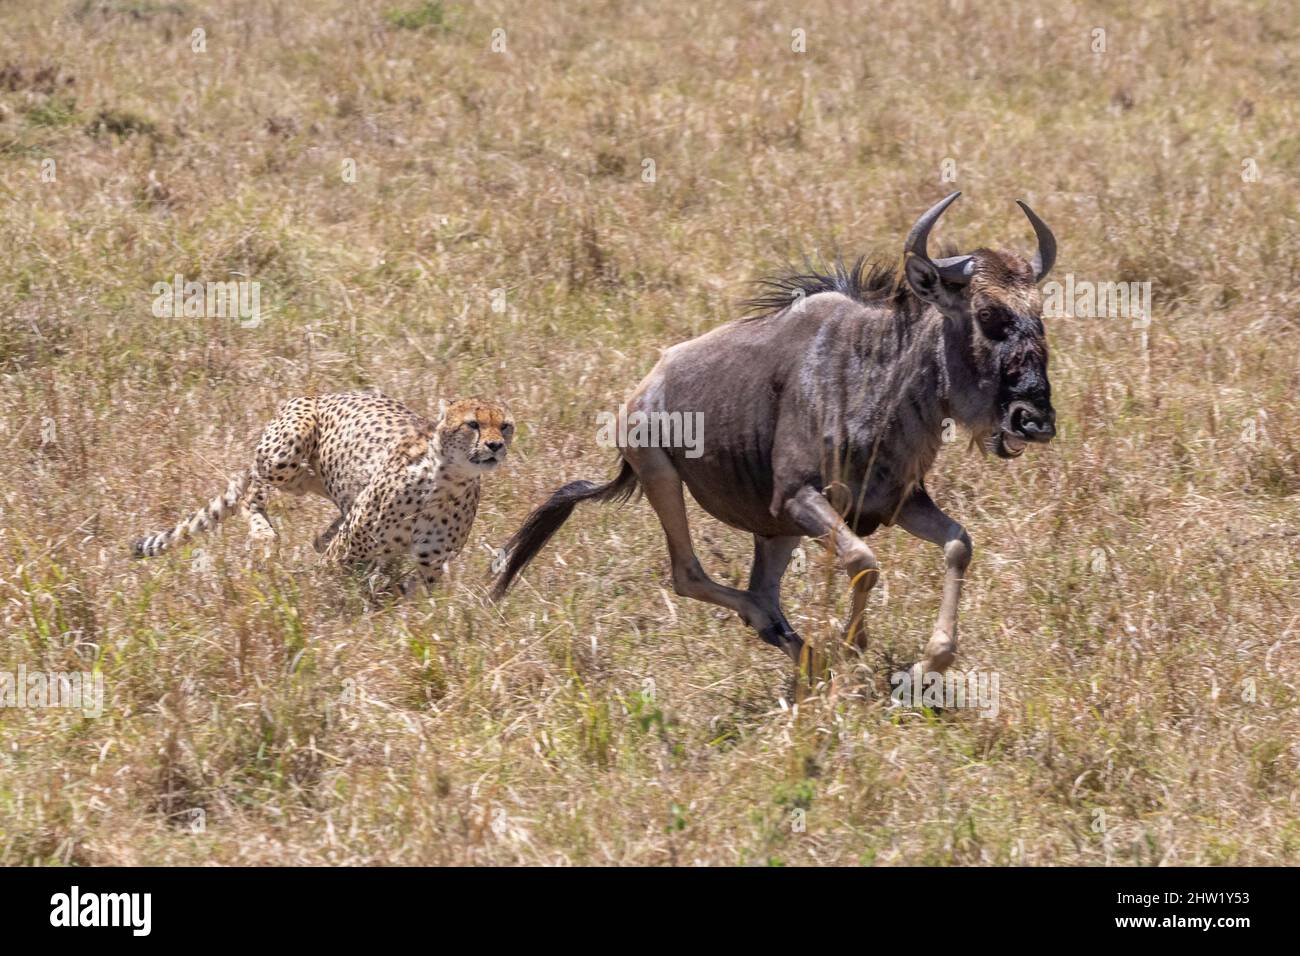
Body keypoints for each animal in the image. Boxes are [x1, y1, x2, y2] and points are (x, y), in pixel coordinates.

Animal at [130, 389, 514, 594]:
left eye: (506, 425)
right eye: (473, 424)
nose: (495, 445)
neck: (447, 481)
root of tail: (322, 394)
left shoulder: (431, 563)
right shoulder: (352, 546)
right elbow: (329, 580)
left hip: (318, 482)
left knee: (320, 526)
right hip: (287, 454)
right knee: (253, 489)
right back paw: (264, 534)